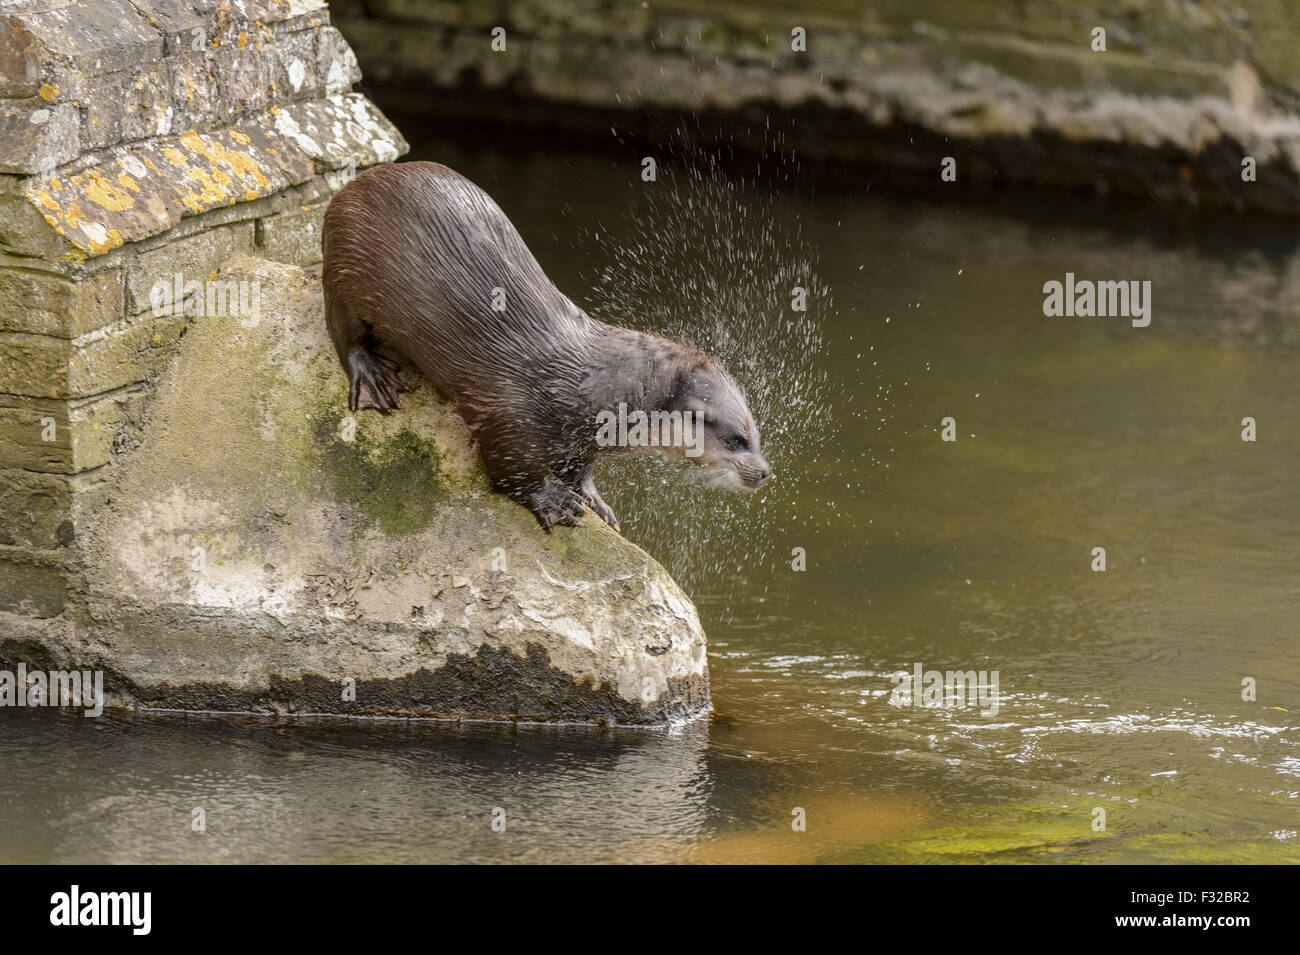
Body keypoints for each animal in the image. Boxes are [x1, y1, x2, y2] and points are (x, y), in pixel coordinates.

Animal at [321, 161, 770, 532]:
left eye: (756, 435)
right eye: (735, 440)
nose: (766, 472)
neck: (584, 386)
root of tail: (353, 186)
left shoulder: (581, 439)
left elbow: (579, 467)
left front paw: (594, 500)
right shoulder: (509, 418)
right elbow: (510, 469)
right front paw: (554, 501)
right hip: (346, 267)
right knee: (343, 330)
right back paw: (373, 377)